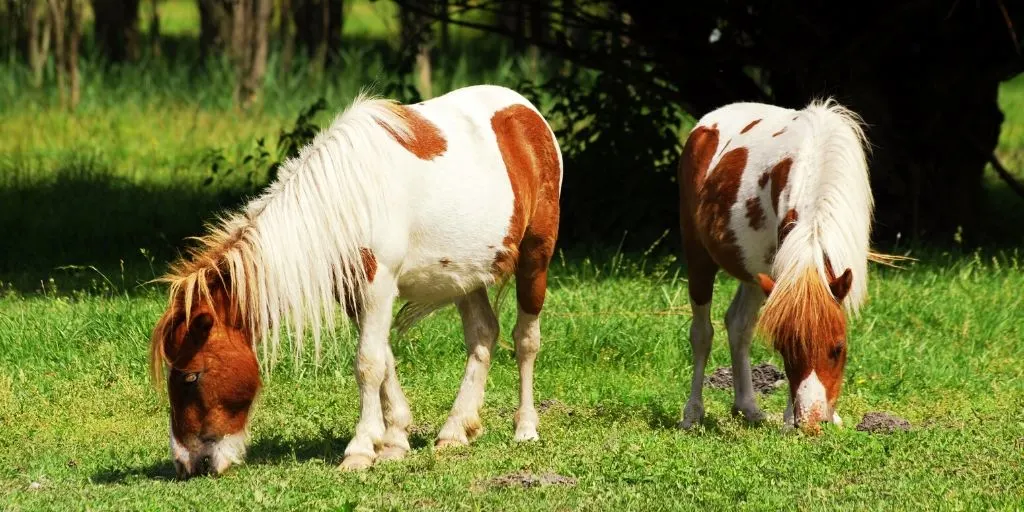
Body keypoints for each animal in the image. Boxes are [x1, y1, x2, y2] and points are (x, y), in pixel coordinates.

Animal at [149, 84, 563, 478]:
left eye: (191, 376)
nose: (185, 464)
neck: (342, 203)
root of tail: (528, 112)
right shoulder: (353, 293)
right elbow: (384, 361)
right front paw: (394, 440)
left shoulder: (379, 285)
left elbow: (367, 364)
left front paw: (361, 449)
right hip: (466, 274)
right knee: (483, 335)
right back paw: (455, 430)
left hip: (535, 257)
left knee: (525, 340)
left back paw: (525, 427)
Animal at [676, 98, 880, 431]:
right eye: (784, 349)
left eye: (838, 348)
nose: (811, 422)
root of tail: (705, 125)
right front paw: (789, 421)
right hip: (699, 257)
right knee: (702, 334)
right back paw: (692, 414)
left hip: (754, 272)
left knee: (738, 325)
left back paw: (748, 407)